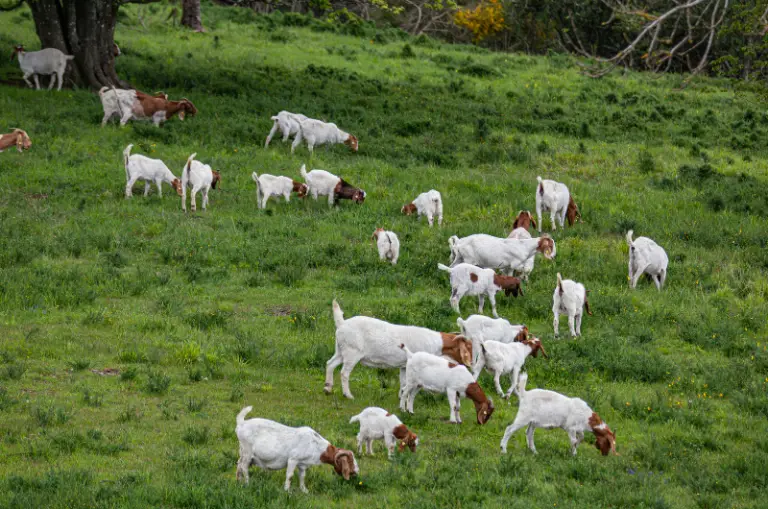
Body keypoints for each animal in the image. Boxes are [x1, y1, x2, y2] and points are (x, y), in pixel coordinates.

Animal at [325, 300, 472, 399]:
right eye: (469, 347)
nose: (470, 363)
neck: (437, 344)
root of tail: (342, 324)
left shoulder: (404, 365)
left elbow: (403, 382)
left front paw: (401, 396)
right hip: (352, 352)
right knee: (344, 373)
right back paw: (348, 395)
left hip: (341, 350)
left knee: (330, 364)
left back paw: (327, 388)